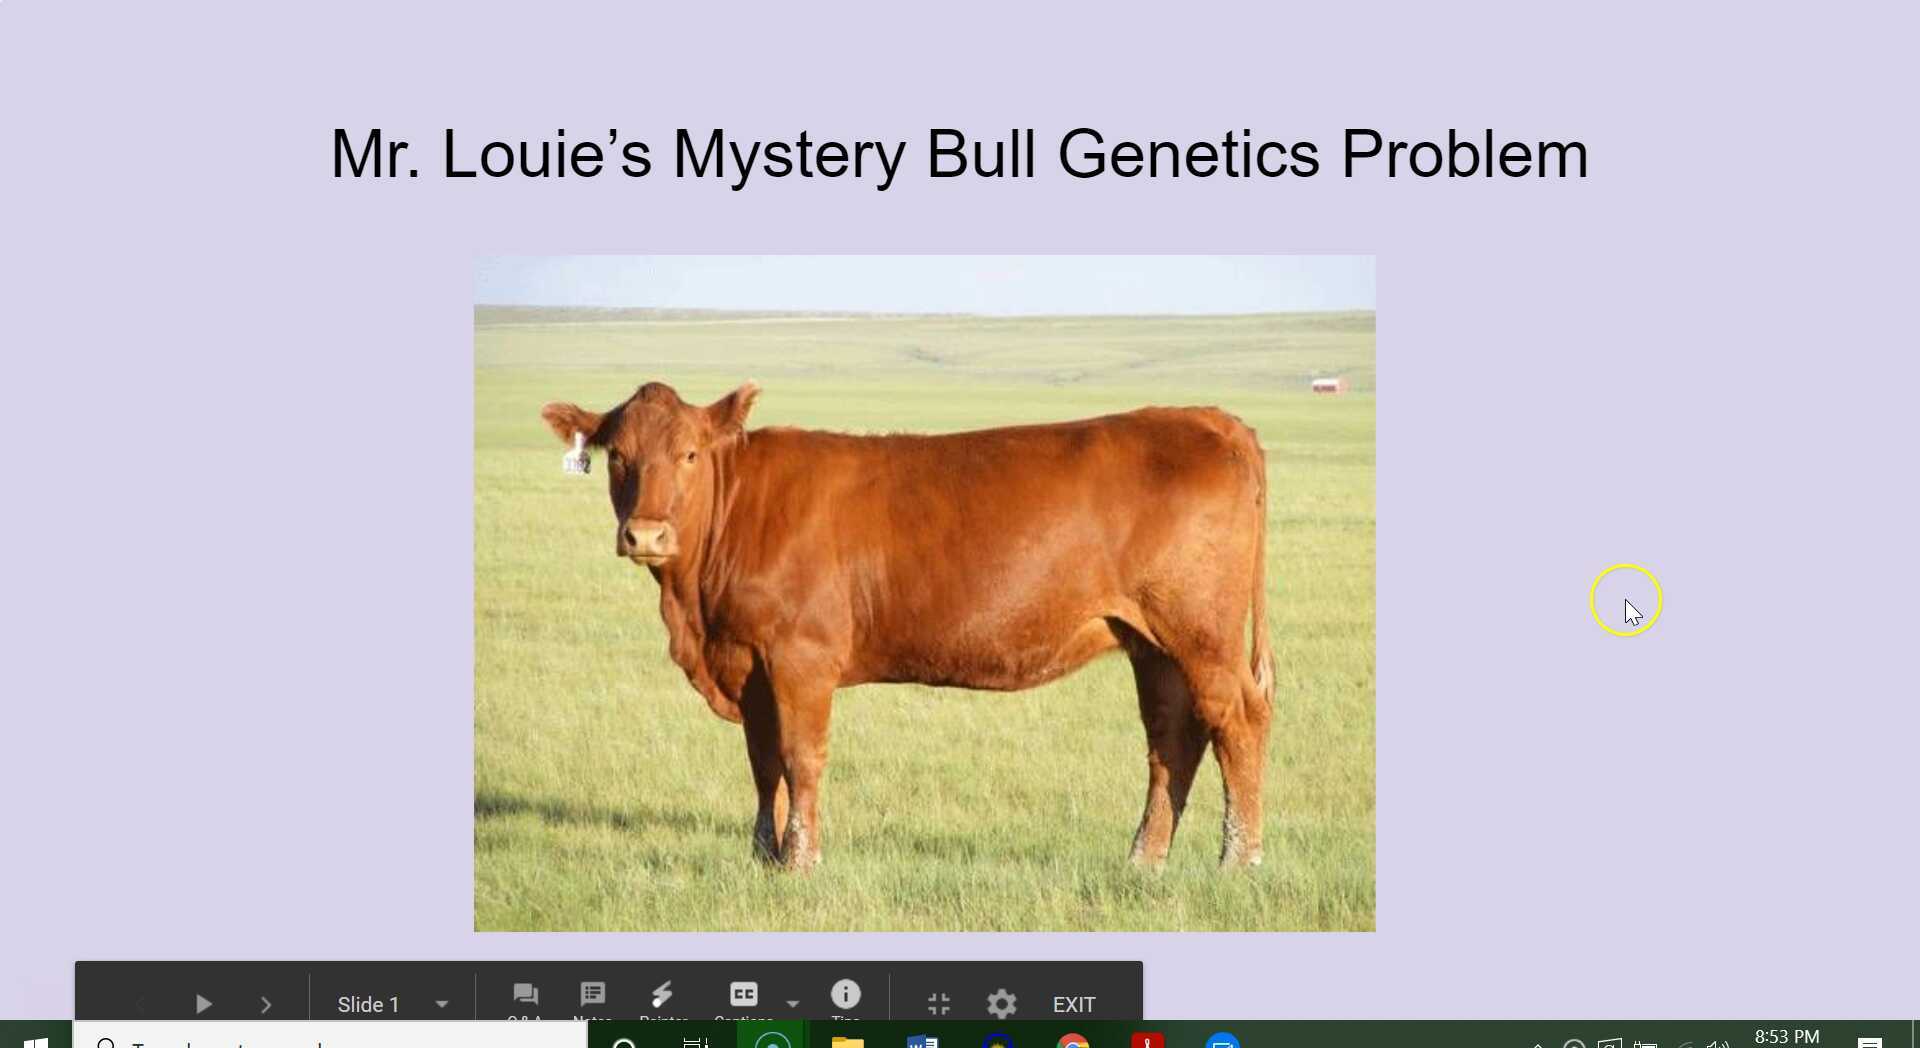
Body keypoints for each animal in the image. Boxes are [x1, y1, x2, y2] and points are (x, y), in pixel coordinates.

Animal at [540, 381, 1275, 871]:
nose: (645, 535)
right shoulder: (748, 664)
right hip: (1152, 645)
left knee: (1238, 720)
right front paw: (762, 857)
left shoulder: (801, 656)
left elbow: (801, 757)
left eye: (690, 454)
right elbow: (762, 762)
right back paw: (1143, 861)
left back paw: (1237, 862)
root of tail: (1207, 418)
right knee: (1172, 739)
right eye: (616, 455)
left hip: (1200, 633)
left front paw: (800, 863)